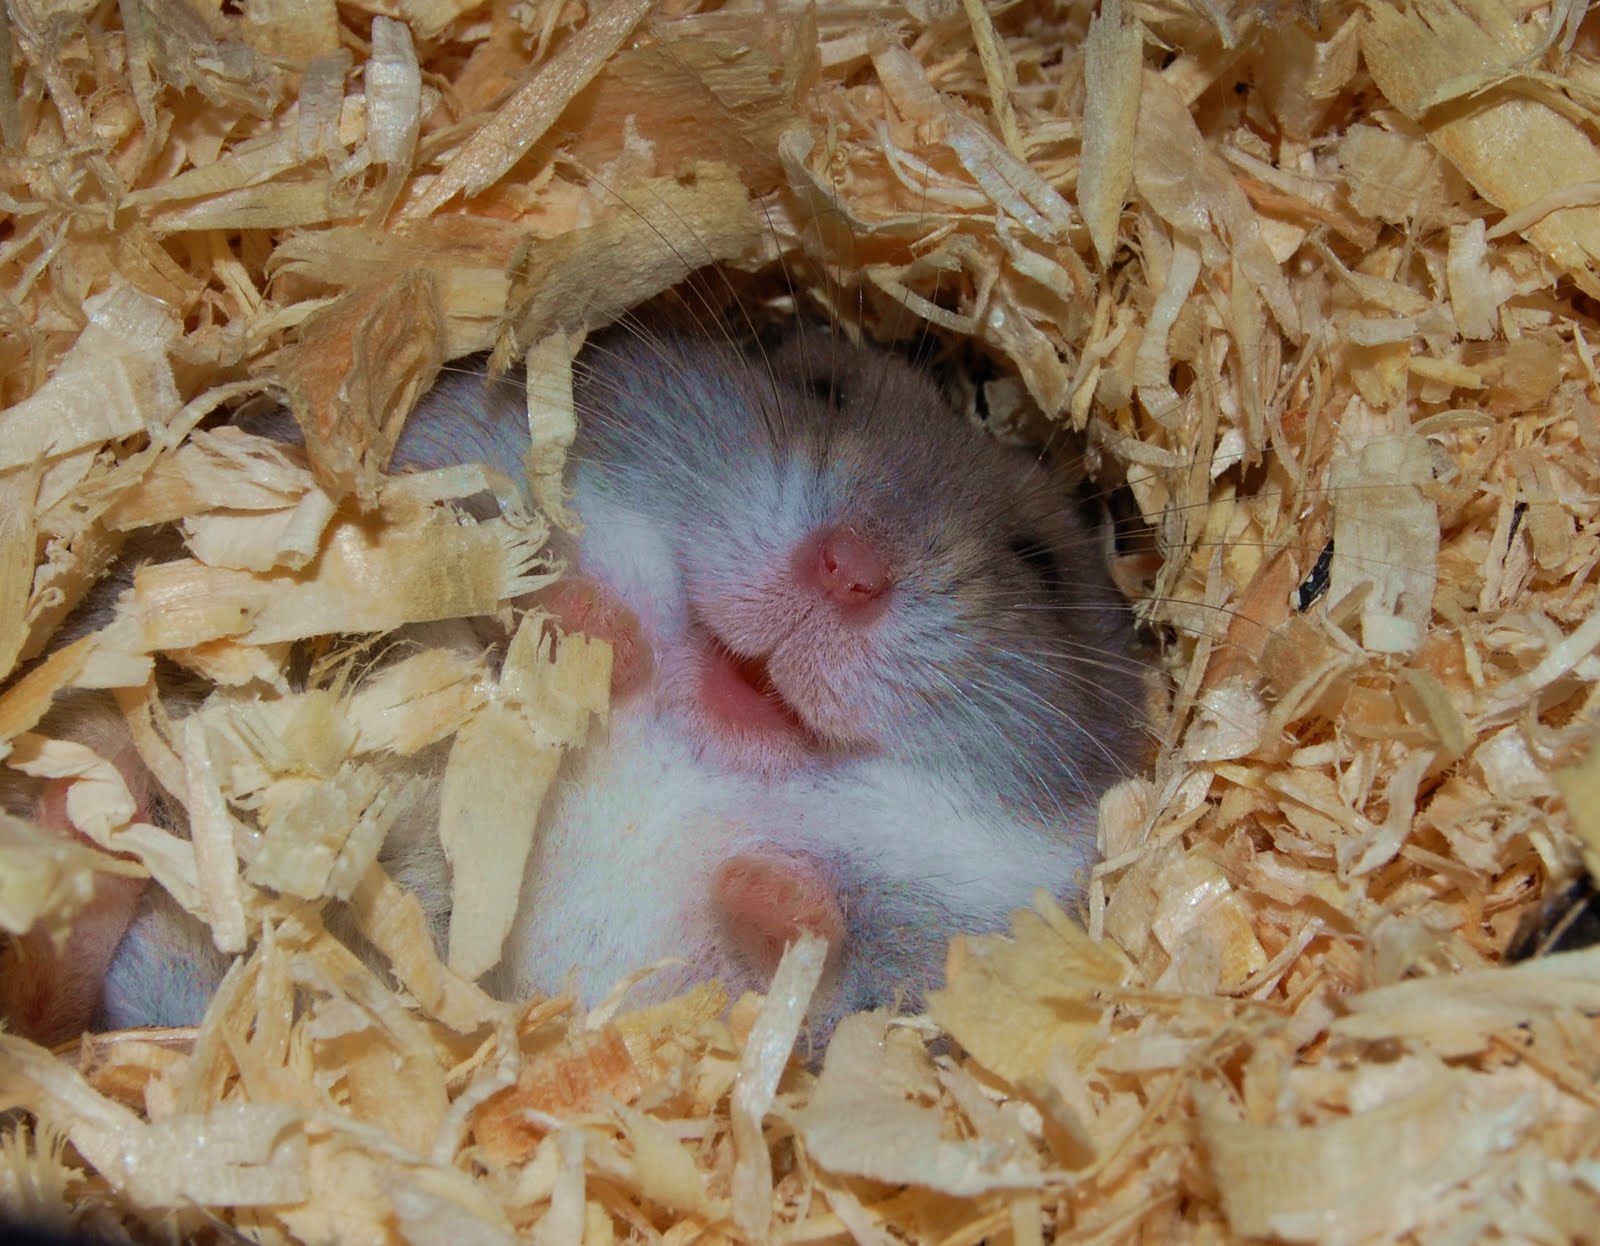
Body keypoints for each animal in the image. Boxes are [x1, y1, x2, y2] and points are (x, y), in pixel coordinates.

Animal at [26, 321, 1152, 1044]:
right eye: (812, 385)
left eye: (1042, 568)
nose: (844, 571)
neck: (710, 747)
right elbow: (501, 586)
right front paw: (593, 631)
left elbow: (813, 960)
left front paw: (774, 890)